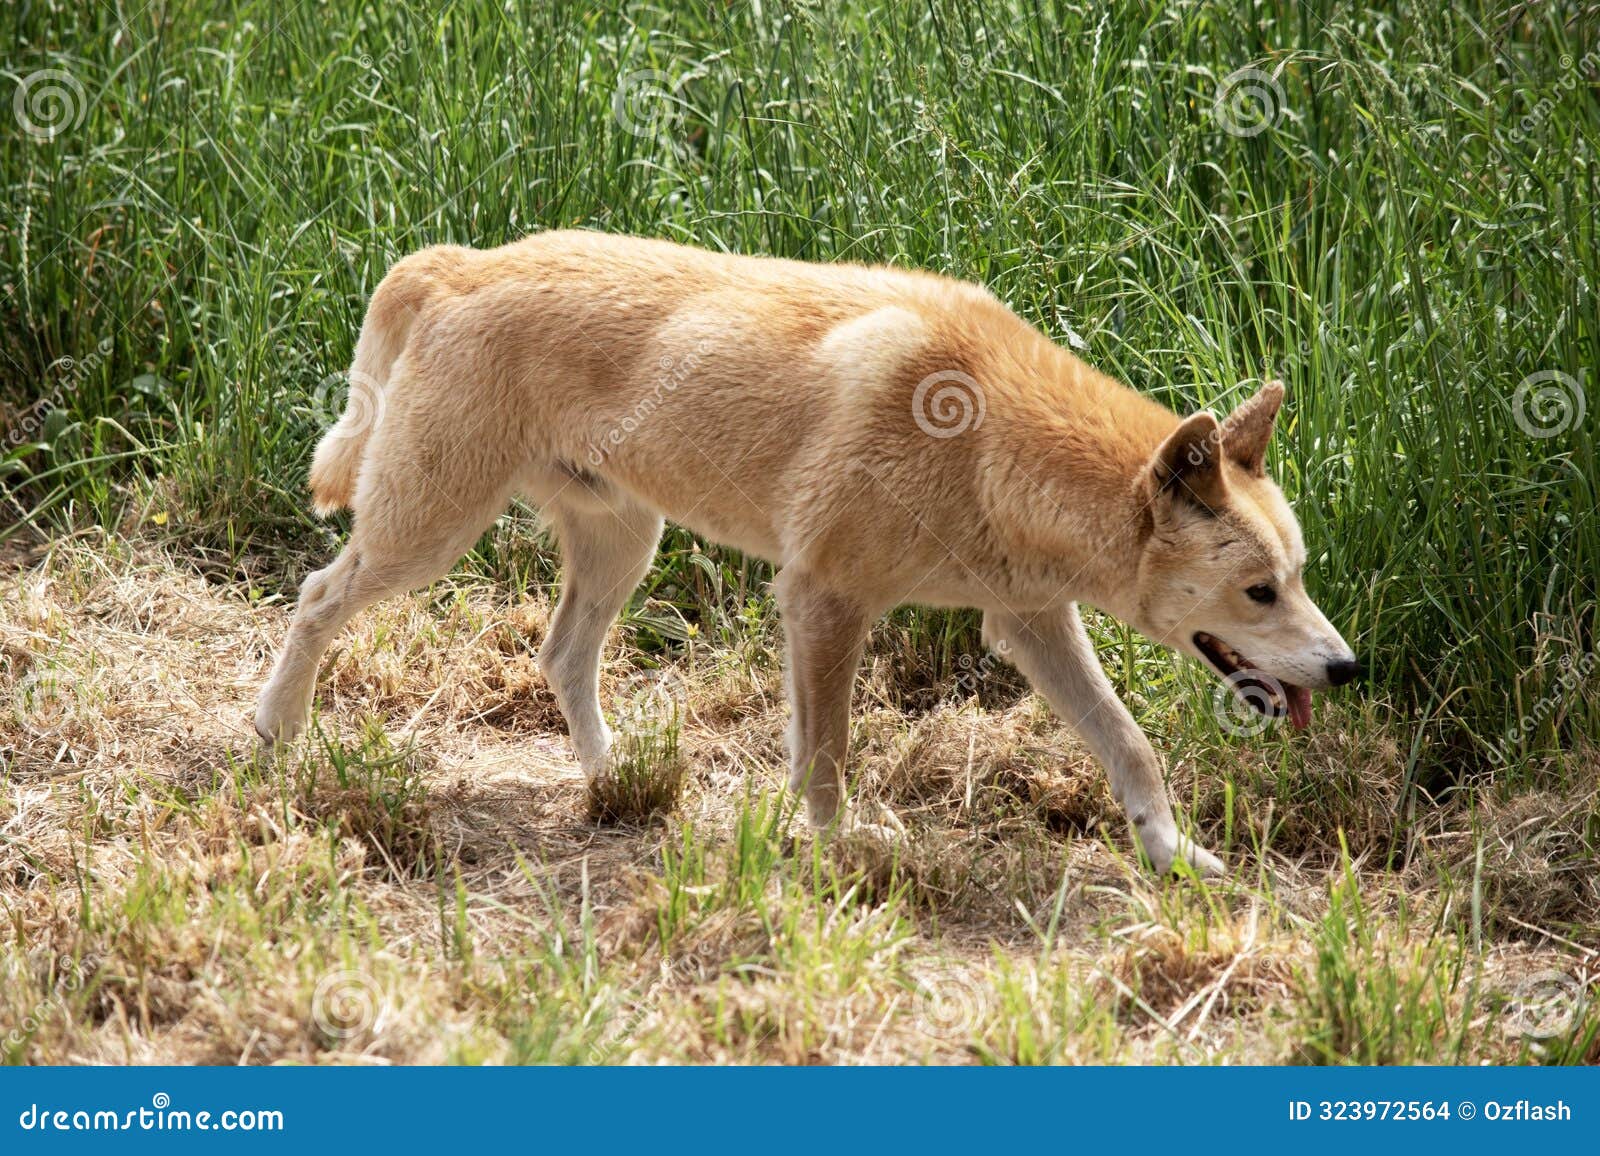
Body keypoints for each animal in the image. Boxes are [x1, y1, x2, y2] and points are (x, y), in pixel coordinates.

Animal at [255, 231, 1358, 876]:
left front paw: (1171, 854)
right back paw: (274, 732)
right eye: (1258, 591)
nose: (1347, 667)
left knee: (561, 654)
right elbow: (825, 755)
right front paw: (836, 853)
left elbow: (1130, 745)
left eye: (1298, 579)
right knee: (316, 595)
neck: (987, 443)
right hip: (426, 533)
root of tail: (457, 260)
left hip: (623, 542)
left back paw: (616, 781)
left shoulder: (1030, 620)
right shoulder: (824, 600)